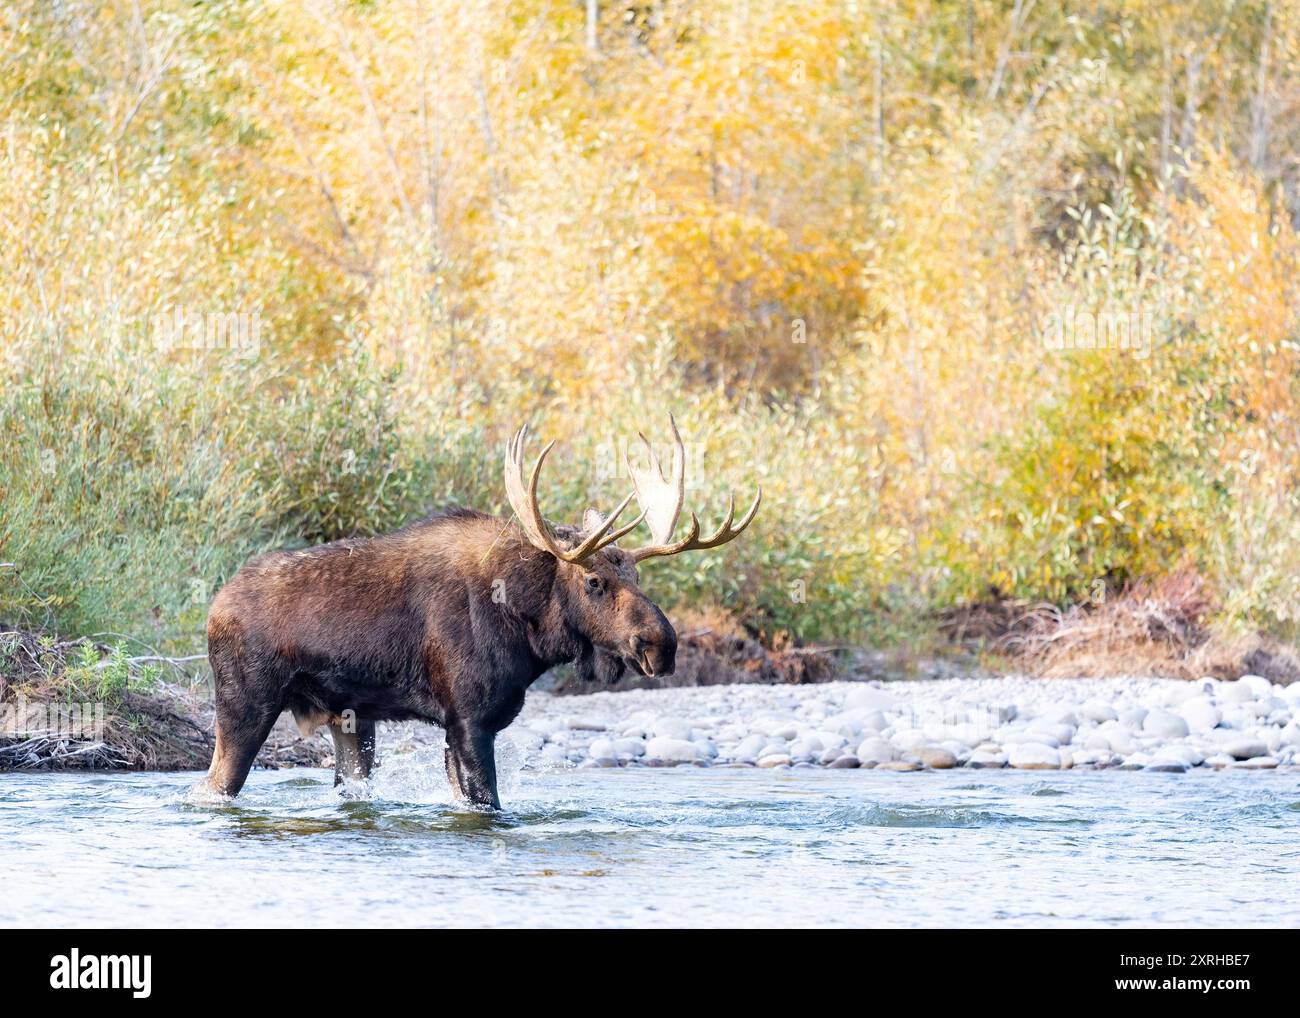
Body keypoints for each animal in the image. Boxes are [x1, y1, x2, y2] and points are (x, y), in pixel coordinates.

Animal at [202, 415, 760, 808]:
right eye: (594, 581)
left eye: (639, 579)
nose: (660, 645)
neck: (530, 633)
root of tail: (213, 607)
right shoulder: (468, 718)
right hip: (244, 703)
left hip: (352, 721)